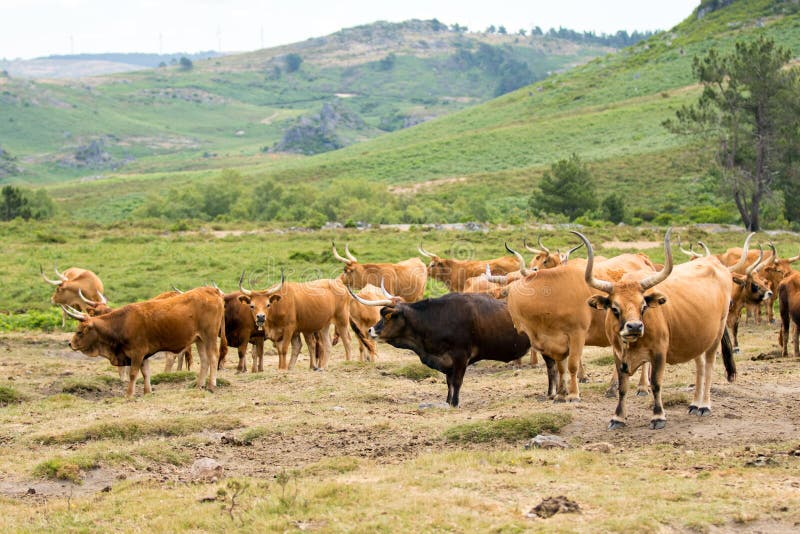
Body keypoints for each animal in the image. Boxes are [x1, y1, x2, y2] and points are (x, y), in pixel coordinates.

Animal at [60, 286, 225, 398]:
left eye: (80, 331)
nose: (70, 343)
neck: (122, 323)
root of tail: (211, 290)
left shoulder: (137, 353)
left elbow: (133, 373)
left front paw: (129, 394)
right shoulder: (144, 354)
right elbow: (145, 373)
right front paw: (147, 392)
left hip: (209, 336)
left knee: (212, 358)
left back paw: (211, 385)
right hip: (199, 340)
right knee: (204, 361)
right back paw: (199, 385)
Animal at [351, 287, 530, 407]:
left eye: (387, 315)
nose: (370, 330)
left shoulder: (460, 357)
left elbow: (456, 382)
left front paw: (455, 403)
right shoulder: (447, 360)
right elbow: (449, 382)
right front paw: (448, 401)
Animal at [575, 229, 735, 430]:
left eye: (643, 306)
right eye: (615, 308)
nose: (635, 326)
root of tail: (716, 264)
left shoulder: (659, 352)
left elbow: (656, 383)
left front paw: (658, 416)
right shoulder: (618, 354)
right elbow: (622, 386)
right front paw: (618, 417)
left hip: (717, 332)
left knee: (709, 364)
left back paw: (704, 405)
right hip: (697, 336)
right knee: (700, 366)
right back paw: (694, 404)